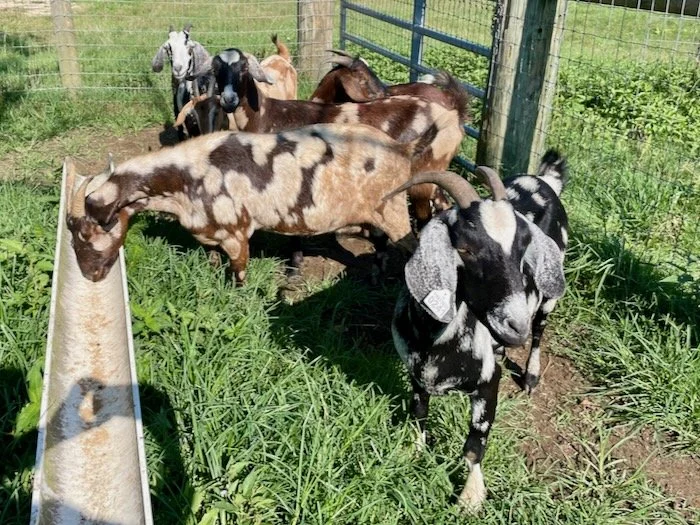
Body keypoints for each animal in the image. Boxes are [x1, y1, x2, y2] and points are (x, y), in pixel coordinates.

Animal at [63, 121, 471, 284]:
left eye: (85, 232)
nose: (90, 276)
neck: (187, 175)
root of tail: (403, 148)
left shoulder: (237, 231)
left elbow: (239, 271)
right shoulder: (210, 232)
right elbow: (212, 260)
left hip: (393, 210)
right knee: (380, 244)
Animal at [387, 151, 568, 512]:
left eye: (524, 247)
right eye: (465, 249)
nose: (515, 325)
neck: (437, 342)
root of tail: (542, 180)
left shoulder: (488, 381)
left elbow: (475, 443)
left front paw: (470, 497)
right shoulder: (416, 374)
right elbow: (418, 414)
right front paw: (412, 453)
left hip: (548, 296)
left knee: (541, 331)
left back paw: (531, 376)